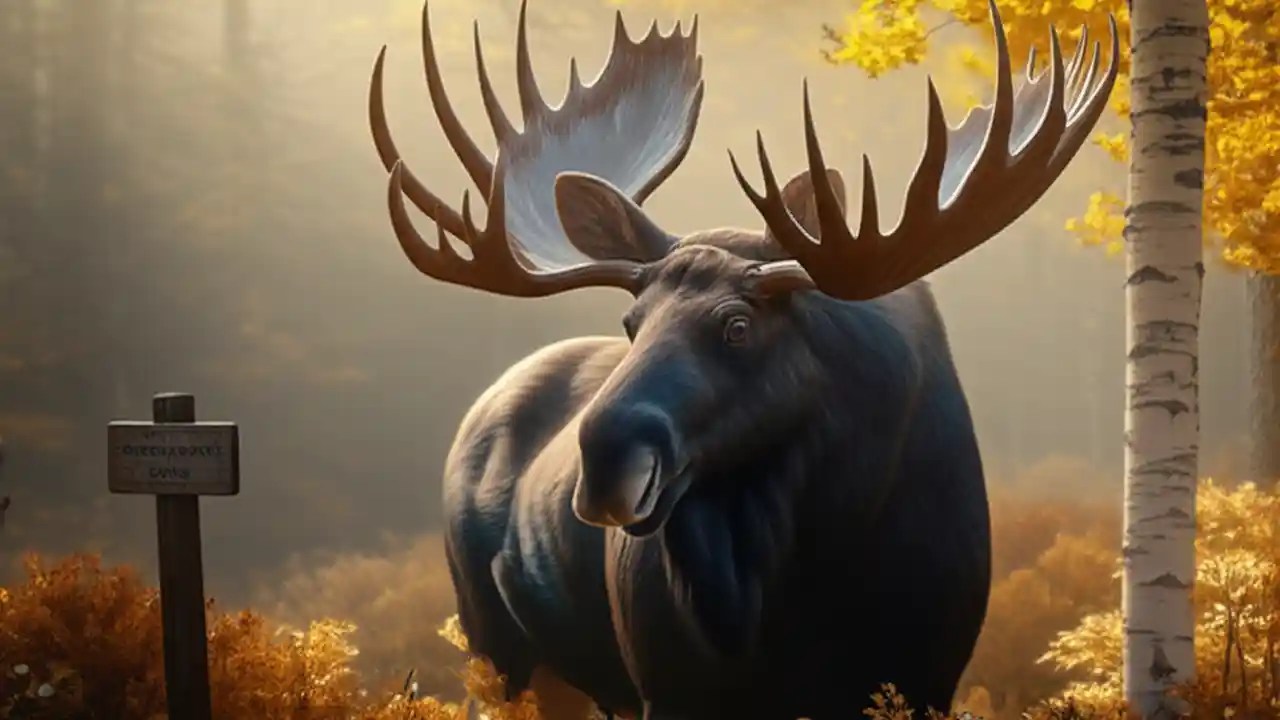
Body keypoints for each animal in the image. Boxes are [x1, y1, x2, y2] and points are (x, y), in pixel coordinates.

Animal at [367, 1, 1117, 718]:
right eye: (632, 322)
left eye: (736, 324)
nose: (604, 462)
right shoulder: (670, 688)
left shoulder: (927, 675)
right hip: (495, 644)